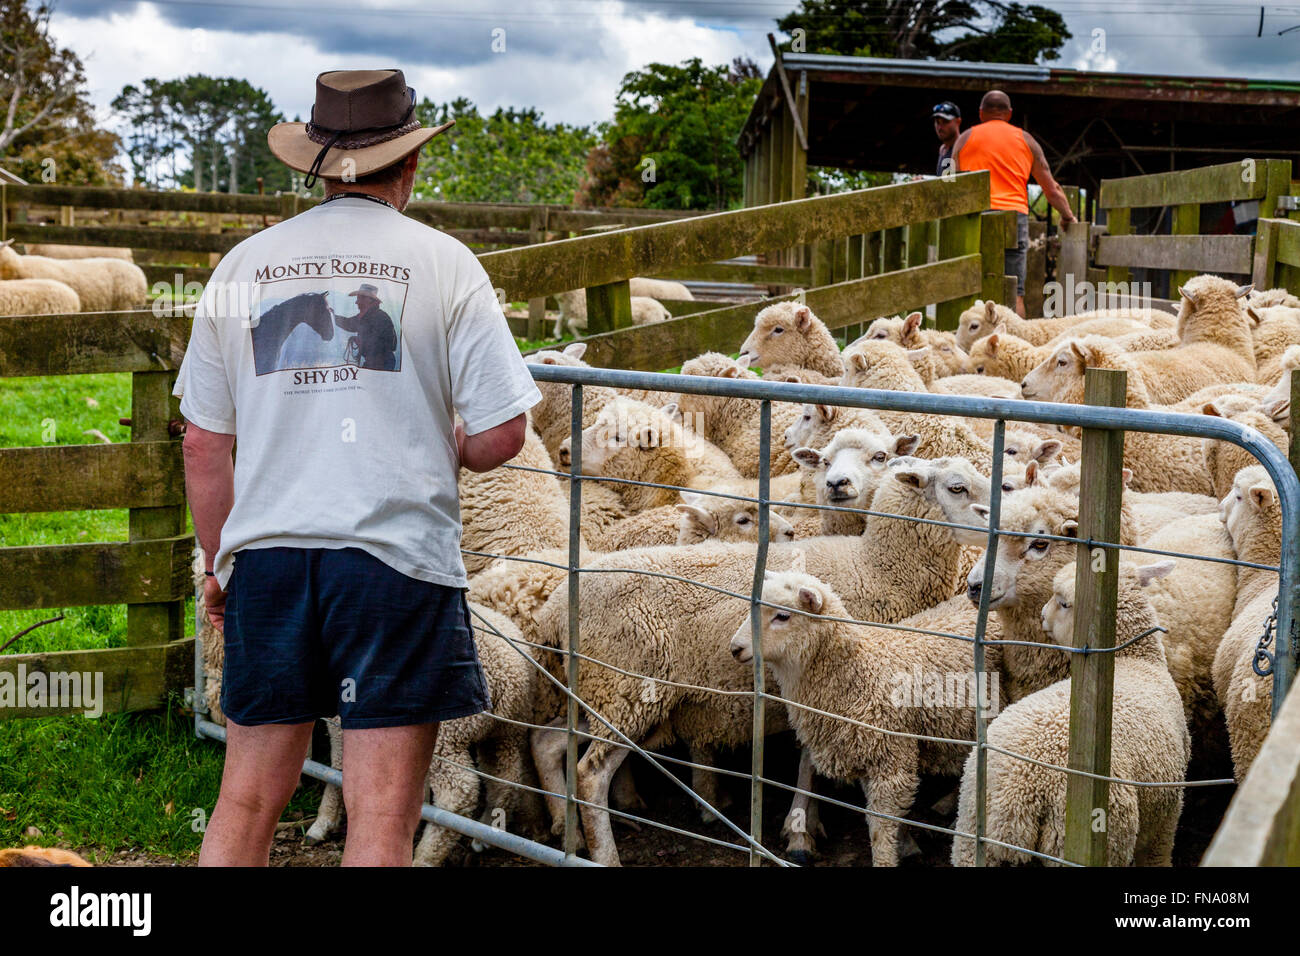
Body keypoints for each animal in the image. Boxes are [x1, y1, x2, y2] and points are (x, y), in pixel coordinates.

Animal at [729, 562, 999, 866]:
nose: (735, 648)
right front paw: (905, 844)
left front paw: (889, 856)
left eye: (783, 616)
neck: (859, 671)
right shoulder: (868, 753)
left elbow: (880, 826)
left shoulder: (892, 756)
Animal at [951, 561, 1189, 866]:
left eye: (1064, 603)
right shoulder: (1167, 813)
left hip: (971, 831)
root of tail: (1015, 798)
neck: (1135, 660)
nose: (1042, 616)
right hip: (1088, 838)